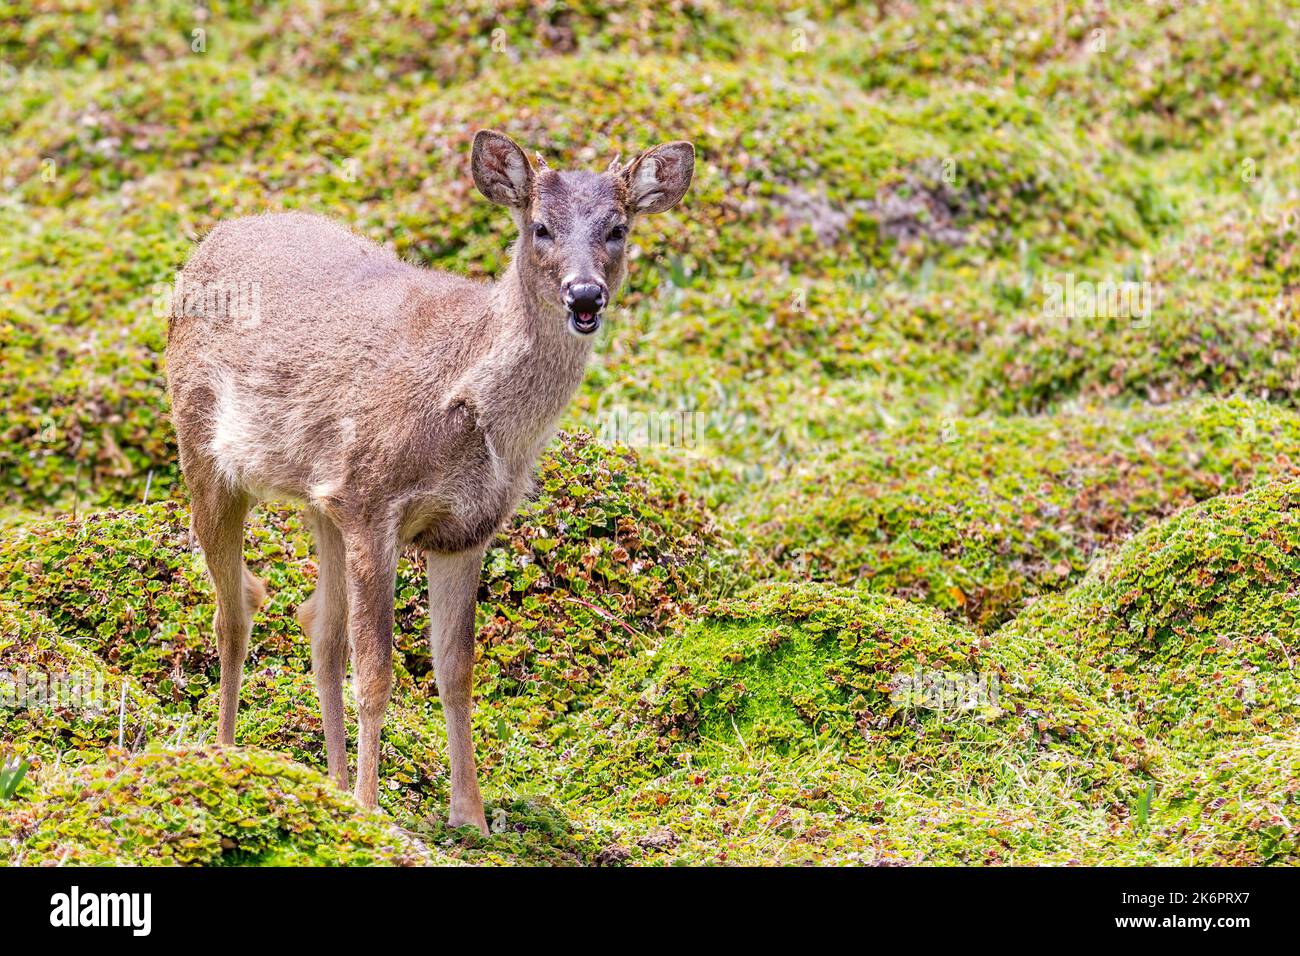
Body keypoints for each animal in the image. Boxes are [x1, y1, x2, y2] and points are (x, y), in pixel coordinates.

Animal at [165, 131, 695, 833]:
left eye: (618, 228)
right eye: (539, 227)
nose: (585, 296)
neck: (470, 399)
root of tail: (213, 238)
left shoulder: (465, 528)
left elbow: (456, 670)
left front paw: (469, 815)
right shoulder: (371, 502)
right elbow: (378, 672)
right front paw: (372, 807)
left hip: (319, 502)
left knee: (318, 625)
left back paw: (329, 785)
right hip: (203, 449)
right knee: (237, 609)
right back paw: (226, 757)